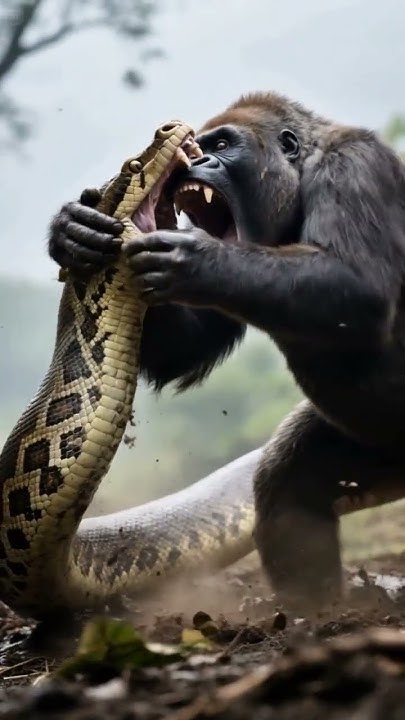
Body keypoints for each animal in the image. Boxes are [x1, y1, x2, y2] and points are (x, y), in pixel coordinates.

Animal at [48, 92, 405, 610]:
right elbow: (184, 350)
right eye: (204, 147)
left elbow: (358, 286)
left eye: (221, 146)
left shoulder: (356, 167)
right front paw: (71, 230)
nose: (198, 159)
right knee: (287, 483)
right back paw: (316, 613)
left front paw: (195, 258)